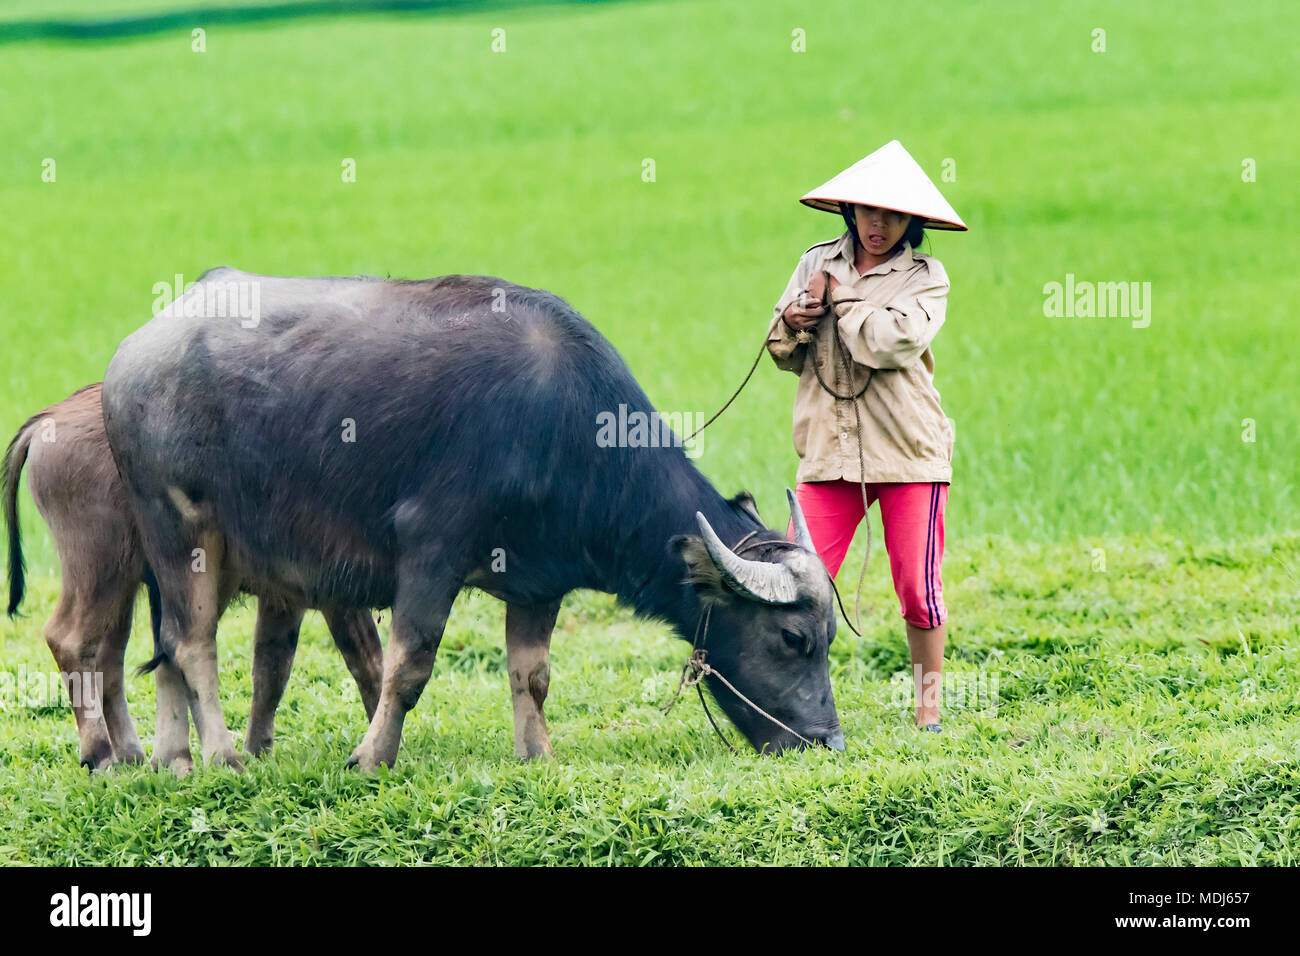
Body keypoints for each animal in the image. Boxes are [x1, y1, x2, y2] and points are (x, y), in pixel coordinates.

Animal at [3, 383, 384, 772]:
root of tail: (48, 420)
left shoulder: (284, 600)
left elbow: (271, 670)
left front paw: (257, 751)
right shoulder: (333, 596)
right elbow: (367, 661)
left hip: (123, 591)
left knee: (110, 660)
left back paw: (134, 755)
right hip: (99, 571)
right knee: (68, 639)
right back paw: (101, 754)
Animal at [102, 270, 844, 772]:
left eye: (829, 639)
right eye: (793, 638)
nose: (827, 740)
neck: (566, 432)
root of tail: (131, 357)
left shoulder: (540, 583)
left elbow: (532, 675)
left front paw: (537, 753)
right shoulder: (431, 551)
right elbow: (407, 666)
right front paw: (371, 757)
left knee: (168, 647)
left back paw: (174, 760)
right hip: (182, 534)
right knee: (193, 645)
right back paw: (223, 756)